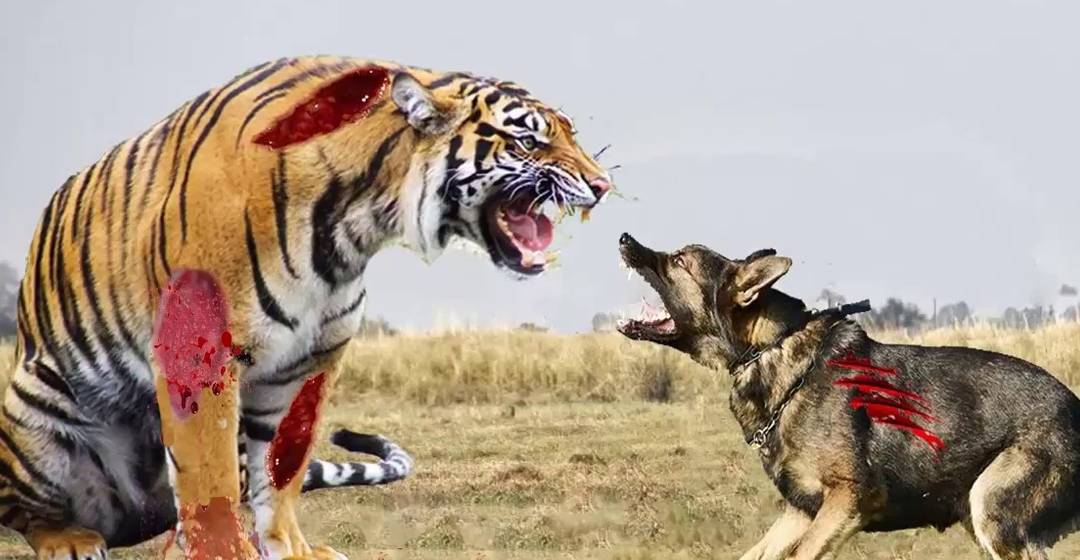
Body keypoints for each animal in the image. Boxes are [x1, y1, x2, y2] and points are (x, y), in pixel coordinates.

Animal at [2, 56, 611, 559]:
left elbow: (281, 468)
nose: (603, 186)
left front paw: (289, 547)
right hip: (33, 401)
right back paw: (72, 539)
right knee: (27, 509)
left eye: (571, 135)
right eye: (529, 142)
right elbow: (208, 470)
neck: (354, 225)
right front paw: (224, 552)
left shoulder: (310, 360)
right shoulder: (198, 349)